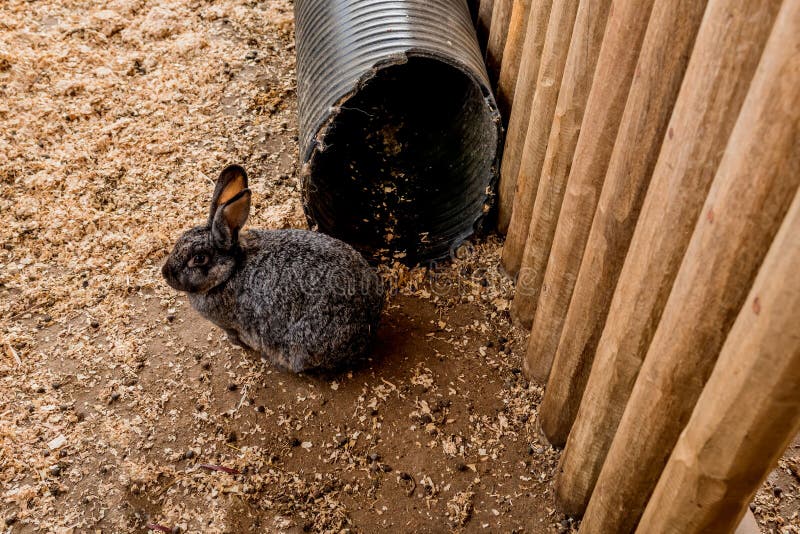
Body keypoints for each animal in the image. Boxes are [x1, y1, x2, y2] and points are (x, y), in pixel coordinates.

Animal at [161, 164, 385, 373]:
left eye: (198, 258)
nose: (165, 274)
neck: (231, 270)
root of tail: (369, 325)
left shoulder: (228, 324)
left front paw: (236, 343)